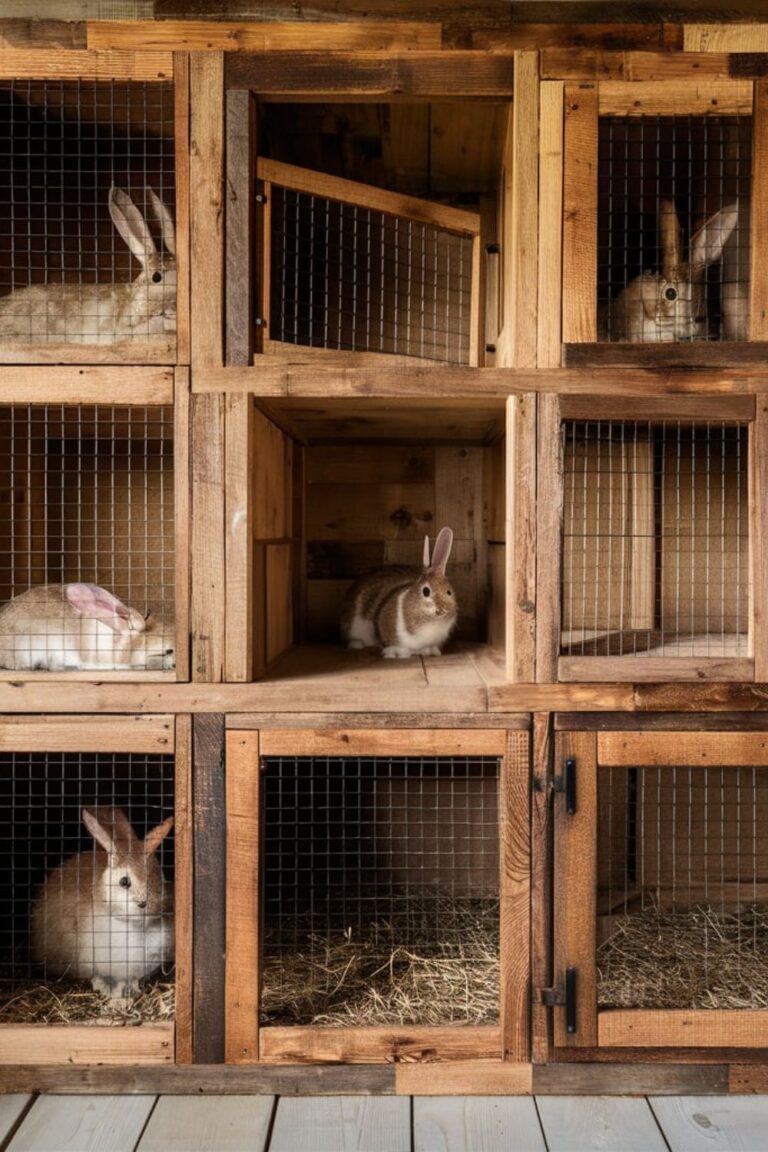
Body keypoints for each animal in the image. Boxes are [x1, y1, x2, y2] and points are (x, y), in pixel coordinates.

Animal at [31, 806, 174, 1000]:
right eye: (124, 882)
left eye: (161, 877)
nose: (146, 905)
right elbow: (98, 978)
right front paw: (111, 992)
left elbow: (131, 980)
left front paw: (133, 990)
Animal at [340, 527, 457, 659]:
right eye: (426, 591)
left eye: (449, 592)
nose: (443, 609)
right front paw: (398, 653)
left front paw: (432, 652)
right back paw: (357, 645)